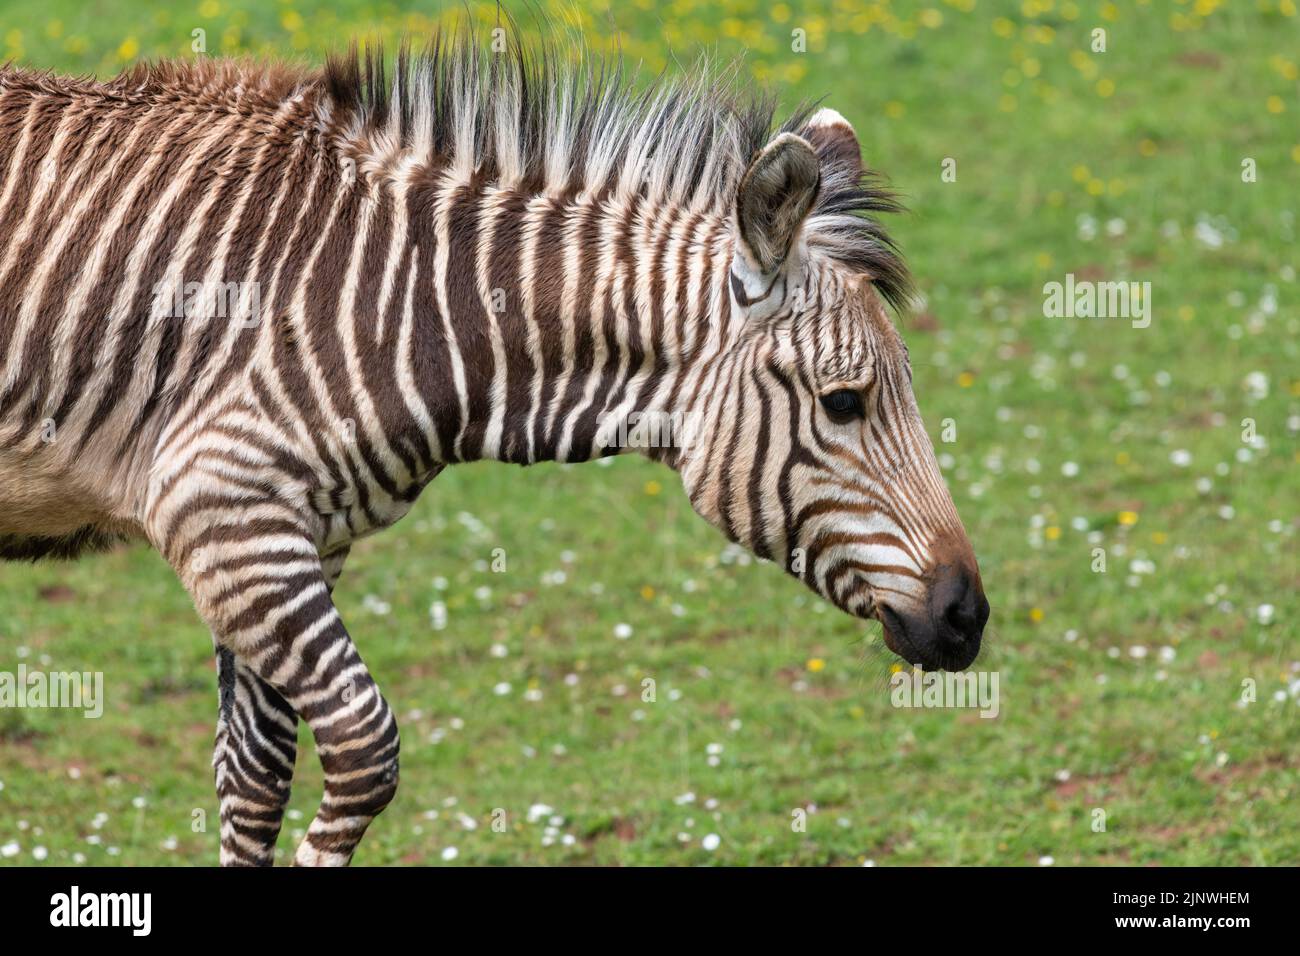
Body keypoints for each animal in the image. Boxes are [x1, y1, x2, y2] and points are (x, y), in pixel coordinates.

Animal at [0, 30, 989, 866]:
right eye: (844, 403)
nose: (968, 618)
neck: (411, 308)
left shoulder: (299, 538)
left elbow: (252, 780)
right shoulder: (223, 511)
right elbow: (366, 751)